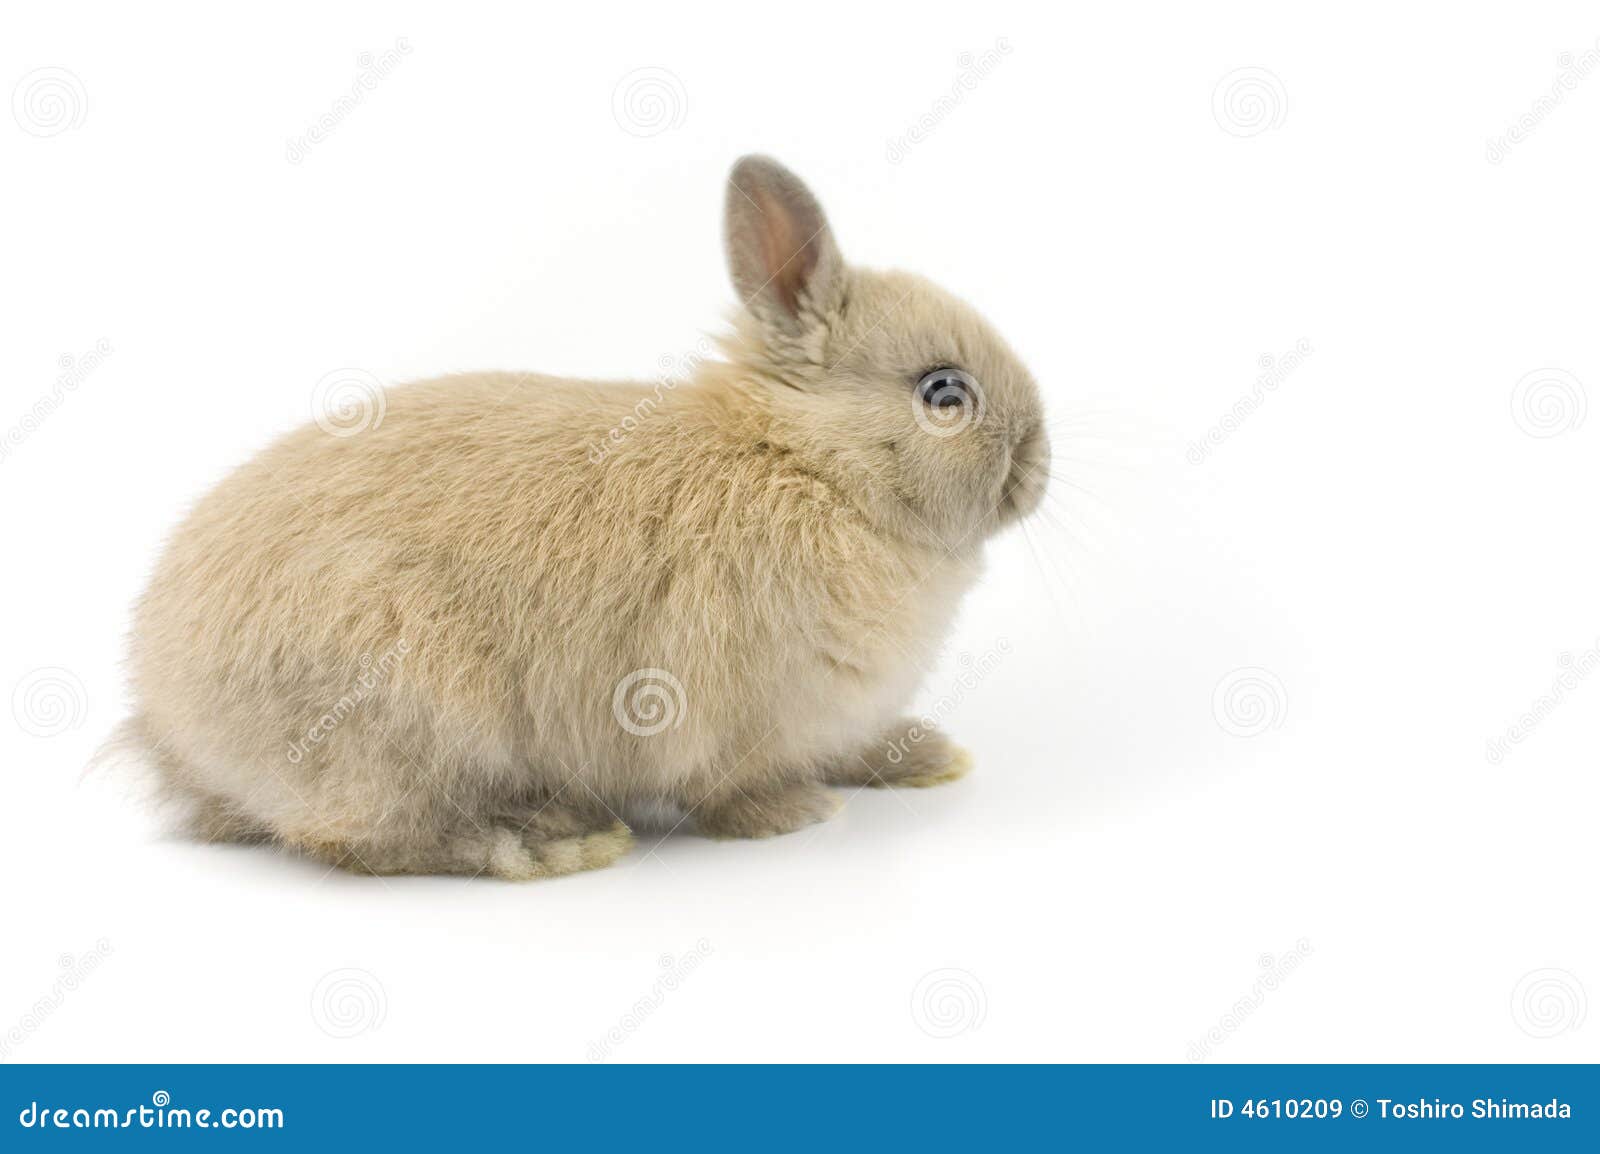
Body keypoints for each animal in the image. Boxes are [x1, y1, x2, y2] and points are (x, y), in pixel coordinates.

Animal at [123, 155, 1050, 879]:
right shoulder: (713, 708)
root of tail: (168, 724)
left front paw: (927, 756)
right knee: (363, 838)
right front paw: (795, 814)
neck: (805, 460)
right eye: (944, 392)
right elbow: (728, 788)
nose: (1039, 466)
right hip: (403, 712)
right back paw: (551, 842)